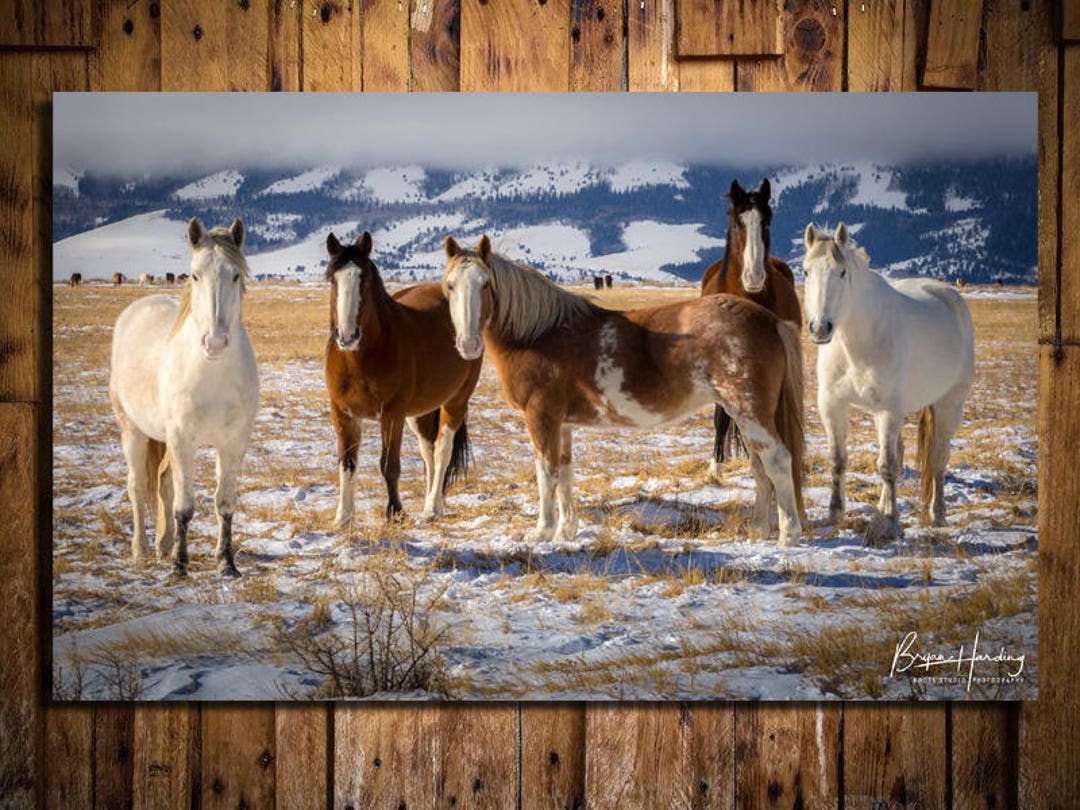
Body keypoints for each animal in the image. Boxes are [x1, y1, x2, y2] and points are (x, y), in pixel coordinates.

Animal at [109, 218, 259, 578]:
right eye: (194, 275)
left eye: (236, 275)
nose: (215, 343)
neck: (212, 373)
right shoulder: (181, 438)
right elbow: (184, 506)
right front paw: (179, 565)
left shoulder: (233, 442)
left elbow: (224, 503)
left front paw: (226, 562)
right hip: (132, 430)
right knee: (138, 486)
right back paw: (141, 550)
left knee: (163, 480)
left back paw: (162, 545)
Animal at [324, 231, 483, 527]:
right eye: (332, 279)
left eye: (364, 279)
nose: (347, 335)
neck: (360, 358)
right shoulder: (342, 413)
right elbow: (347, 463)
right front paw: (343, 517)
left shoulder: (392, 413)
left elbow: (389, 464)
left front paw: (395, 512)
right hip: (420, 412)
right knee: (429, 451)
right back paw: (431, 500)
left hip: (455, 401)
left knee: (442, 450)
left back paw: (434, 506)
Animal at [442, 235, 806, 547]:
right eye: (449, 286)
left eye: (485, 284)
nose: (468, 344)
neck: (538, 334)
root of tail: (768, 320)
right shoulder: (563, 424)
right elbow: (565, 473)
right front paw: (566, 531)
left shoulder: (540, 417)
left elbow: (546, 474)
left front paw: (542, 533)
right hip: (742, 415)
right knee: (760, 467)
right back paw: (758, 530)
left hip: (750, 413)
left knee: (777, 460)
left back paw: (789, 534)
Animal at [802, 223, 975, 542]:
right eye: (806, 271)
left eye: (842, 272)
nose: (820, 328)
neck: (857, 341)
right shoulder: (832, 404)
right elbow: (839, 460)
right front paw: (835, 514)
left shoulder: (889, 409)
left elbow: (887, 467)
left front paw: (892, 523)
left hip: (949, 404)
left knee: (937, 459)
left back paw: (937, 514)